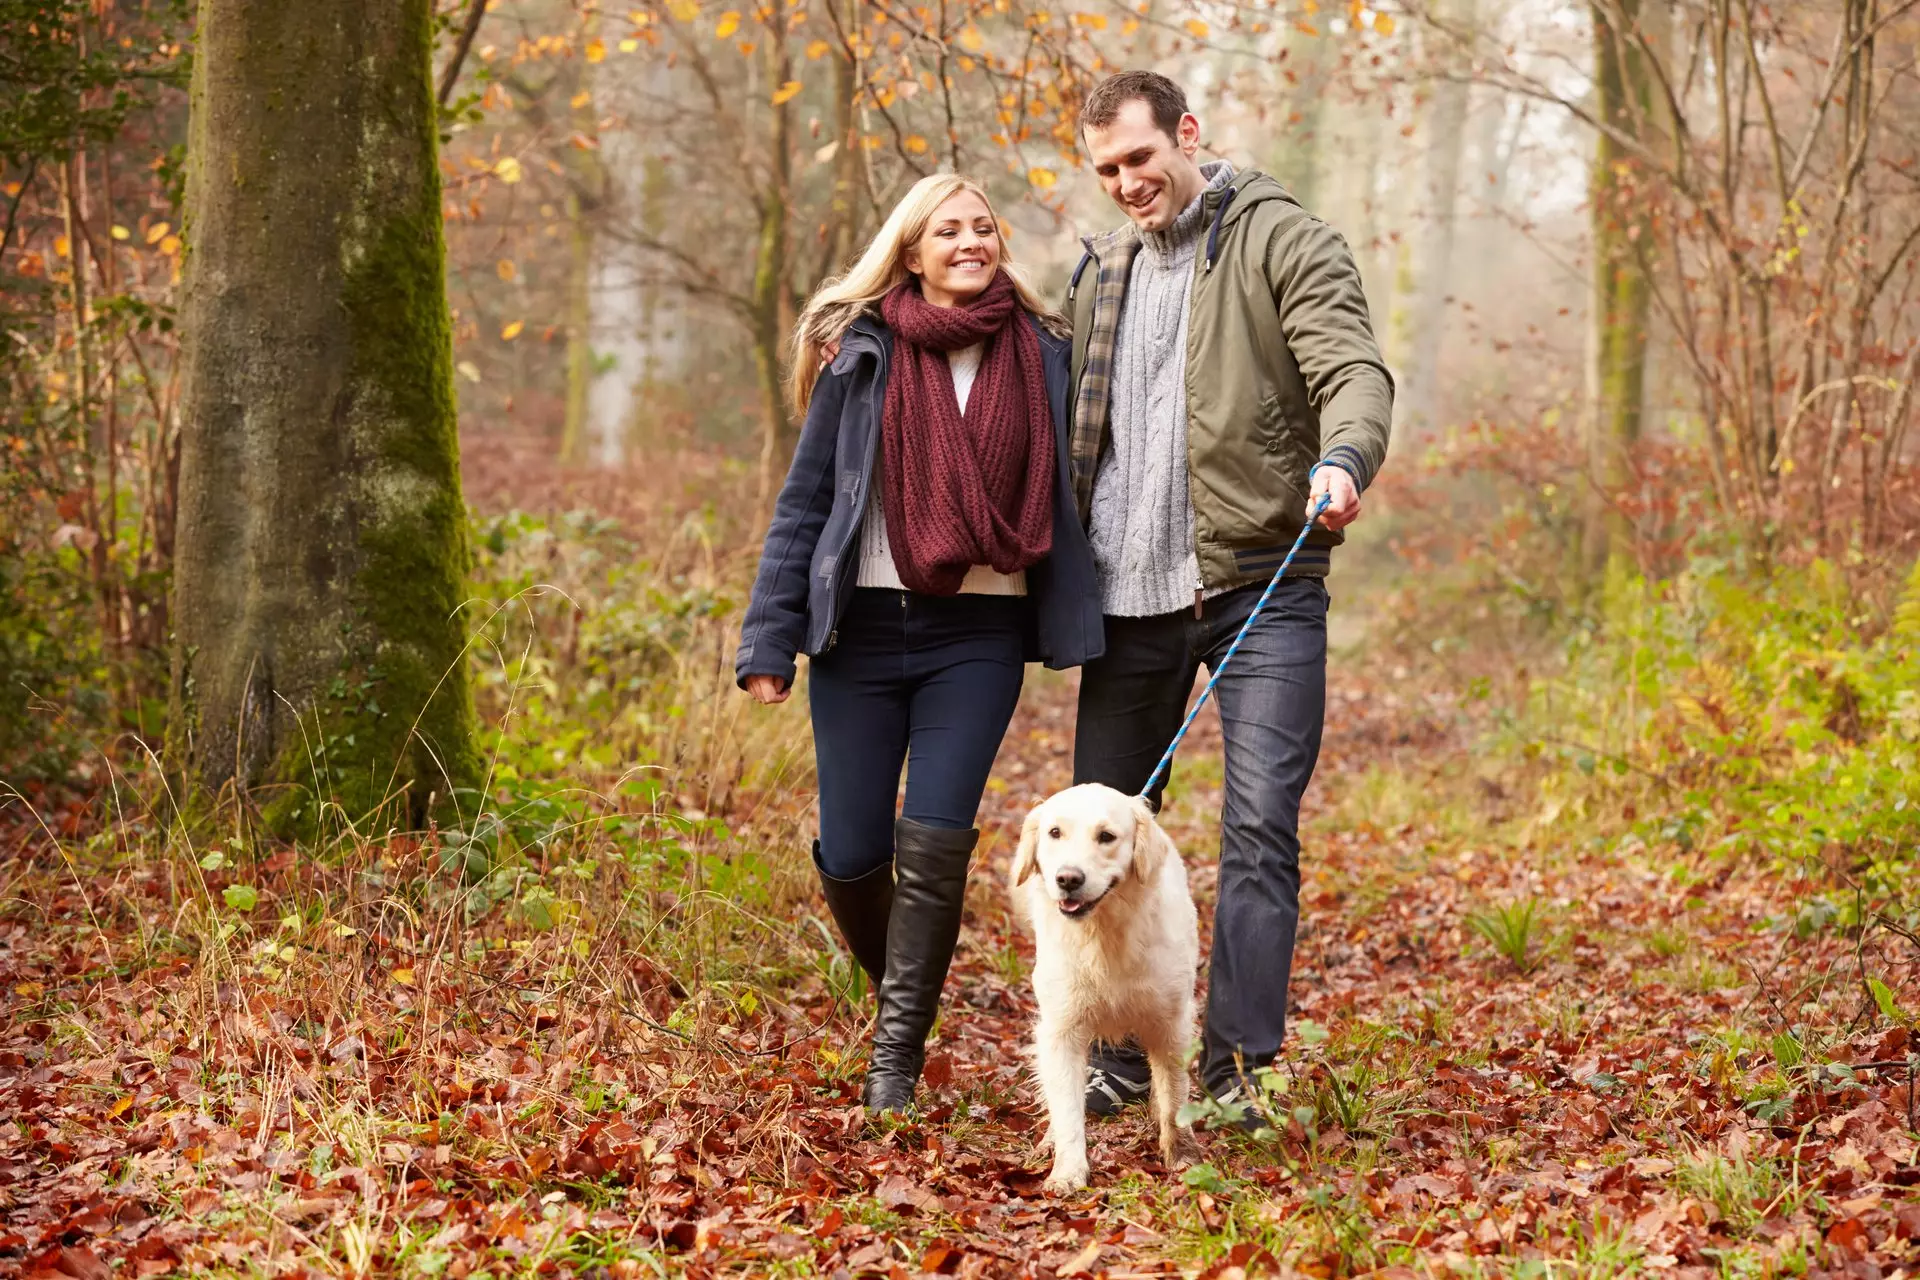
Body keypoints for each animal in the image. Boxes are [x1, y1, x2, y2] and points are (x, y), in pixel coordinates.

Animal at [1013, 782, 1190, 1189]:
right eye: (1055, 832)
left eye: (1106, 836)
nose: (1067, 879)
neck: (1103, 934)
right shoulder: (1061, 1030)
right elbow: (1067, 1110)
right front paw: (1068, 1172)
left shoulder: (1171, 1023)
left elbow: (1173, 1101)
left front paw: (1179, 1158)